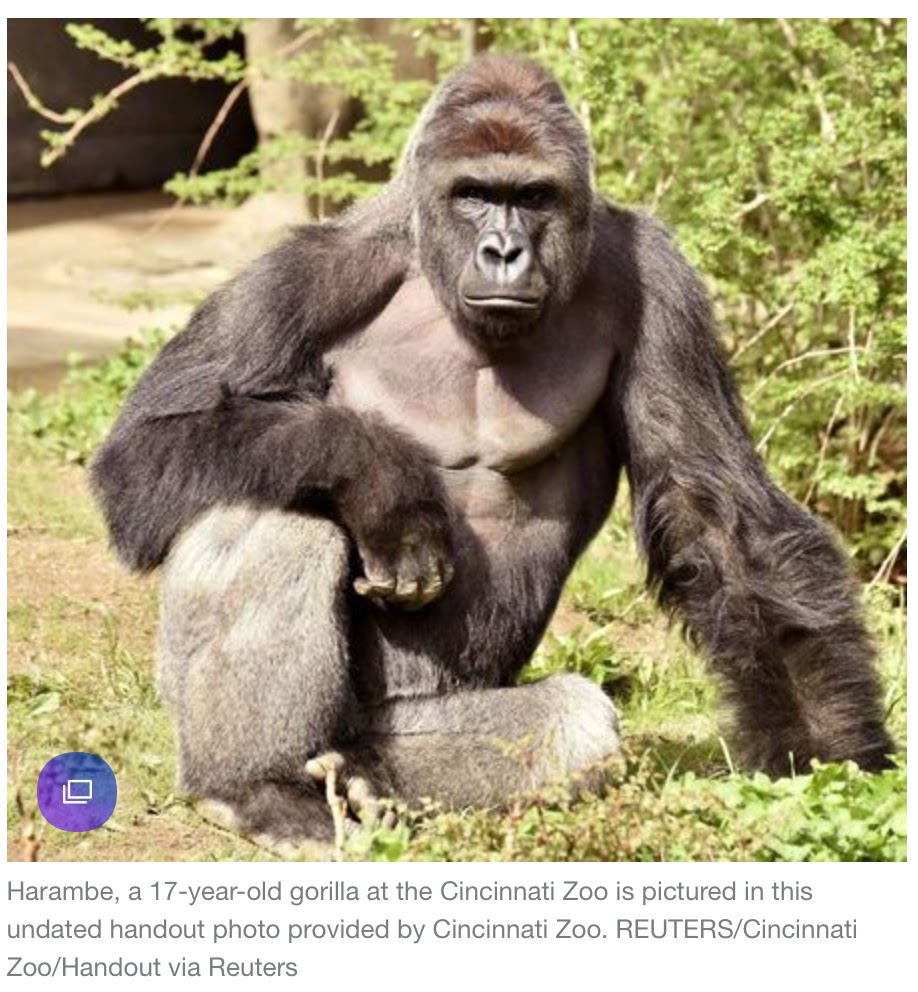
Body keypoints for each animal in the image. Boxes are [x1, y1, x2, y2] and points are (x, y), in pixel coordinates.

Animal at [92, 55, 894, 849]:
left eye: (532, 196)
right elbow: (144, 447)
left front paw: (828, 754)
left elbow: (717, 514)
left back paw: (366, 778)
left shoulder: (662, 285)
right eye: (474, 194)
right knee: (270, 509)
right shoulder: (304, 273)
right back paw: (254, 786)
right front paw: (381, 478)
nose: (503, 250)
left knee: (570, 722)